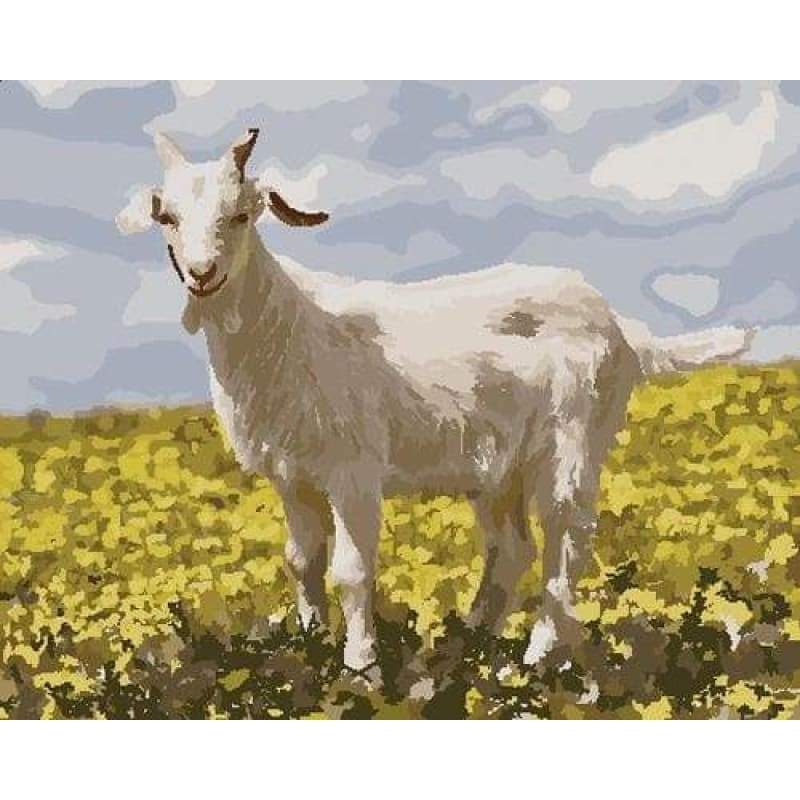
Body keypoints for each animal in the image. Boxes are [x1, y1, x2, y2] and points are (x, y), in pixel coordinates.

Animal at [117, 129, 754, 674]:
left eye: (241, 215)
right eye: (167, 217)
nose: (202, 274)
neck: (289, 327)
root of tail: (623, 330)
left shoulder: (354, 471)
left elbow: (352, 569)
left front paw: (359, 666)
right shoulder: (291, 478)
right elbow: (302, 562)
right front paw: (309, 646)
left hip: (573, 445)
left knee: (565, 542)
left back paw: (536, 657)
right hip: (499, 471)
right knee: (512, 548)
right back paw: (469, 641)